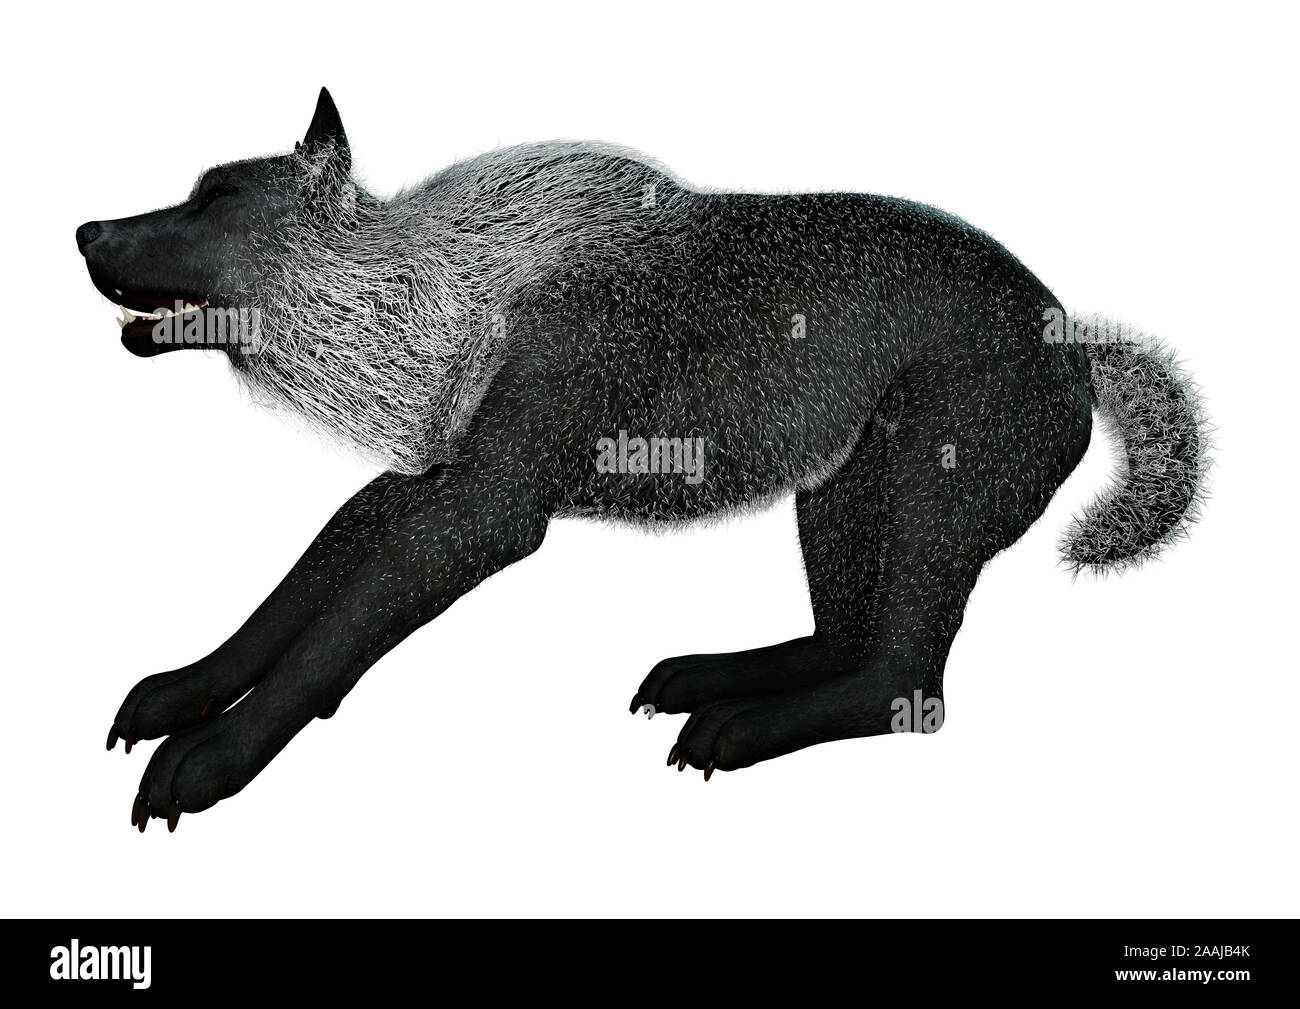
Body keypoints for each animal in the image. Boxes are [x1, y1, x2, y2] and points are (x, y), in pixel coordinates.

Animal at [77, 89, 1209, 831]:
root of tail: (1078, 345)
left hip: (928, 496)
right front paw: (182, 693)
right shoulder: (422, 482)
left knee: (909, 688)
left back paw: (735, 729)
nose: (85, 230)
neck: (435, 298)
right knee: (847, 638)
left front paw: (211, 759)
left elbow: (328, 639)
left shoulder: (485, 510)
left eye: (216, 199)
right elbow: (286, 601)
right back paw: (709, 680)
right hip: (837, 492)